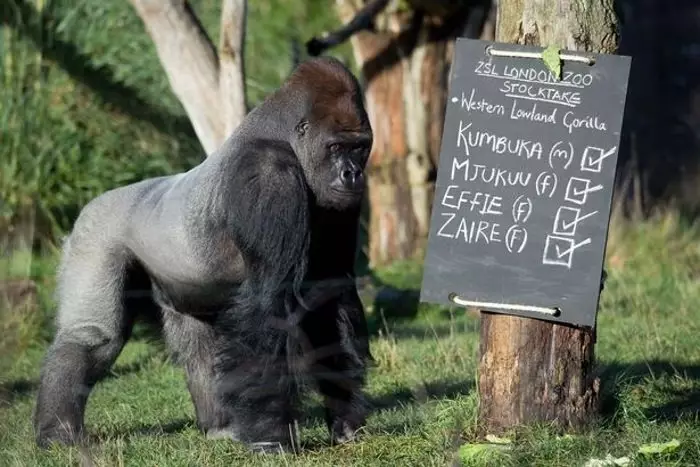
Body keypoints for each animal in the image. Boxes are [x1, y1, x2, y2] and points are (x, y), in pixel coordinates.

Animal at [34, 56, 372, 456]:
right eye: (336, 148)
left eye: (360, 147)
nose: (353, 174)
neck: (283, 138)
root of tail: (93, 203)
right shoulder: (268, 175)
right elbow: (269, 300)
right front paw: (271, 435)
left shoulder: (341, 204)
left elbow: (326, 298)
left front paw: (344, 417)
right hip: (94, 232)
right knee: (91, 337)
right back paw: (58, 432)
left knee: (196, 343)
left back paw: (221, 427)